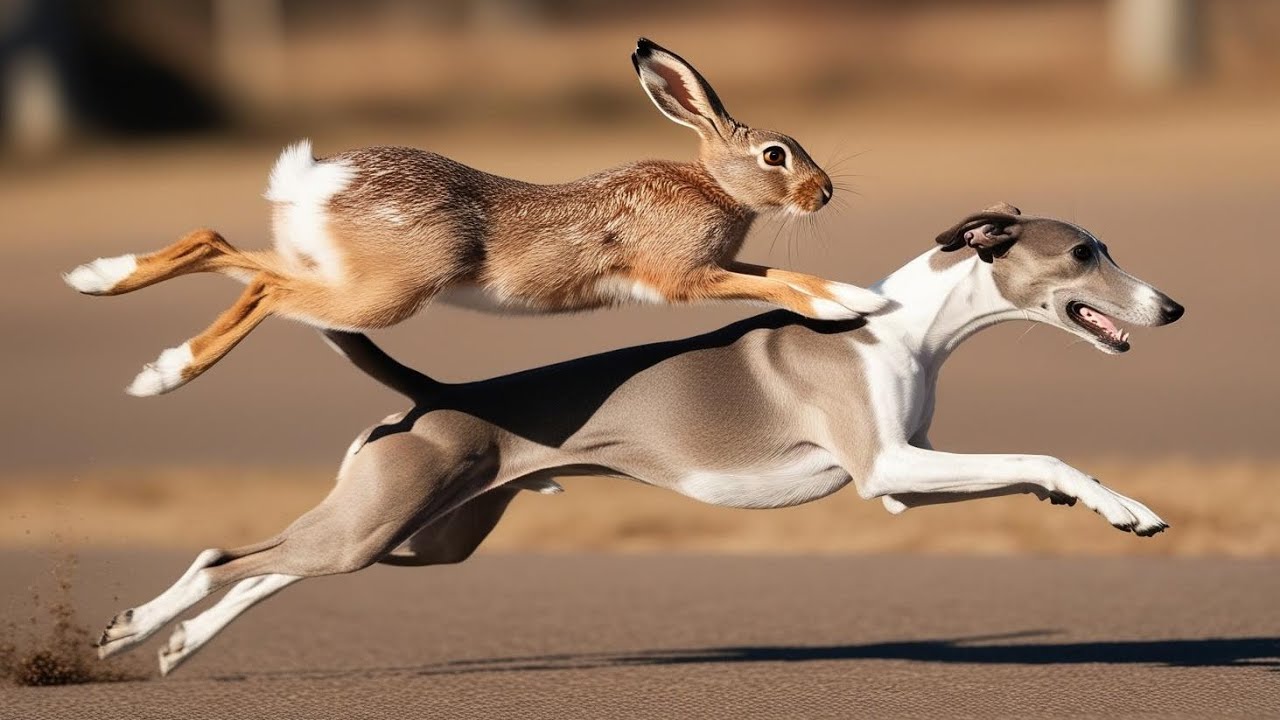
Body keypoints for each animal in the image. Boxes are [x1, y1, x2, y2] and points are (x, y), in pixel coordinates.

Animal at [63, 38, 886, 397]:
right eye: (777, 155)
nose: (823, 193)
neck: (714, 183)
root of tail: (316, 181)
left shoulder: (717, 264)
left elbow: (781, 274)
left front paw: (858, 297)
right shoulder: (682, 276)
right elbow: (771, 283)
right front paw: (851, 307)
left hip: (336, 271)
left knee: (226, 251)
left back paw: (103, 284)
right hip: (386, 292)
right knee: (266, 289)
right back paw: (164, 373)